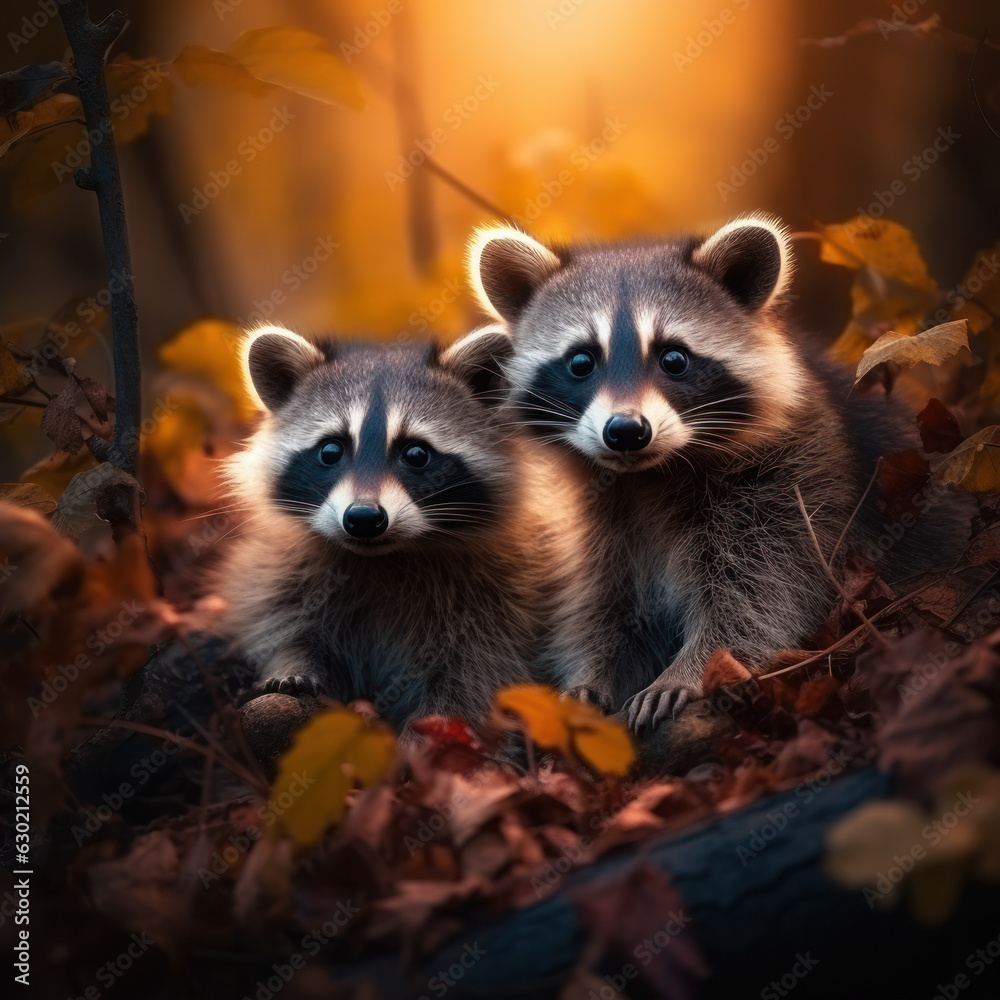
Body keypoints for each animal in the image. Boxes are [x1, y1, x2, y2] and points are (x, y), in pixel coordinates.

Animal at [214, 325, 568, 732]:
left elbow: (473, 676)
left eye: (416, 454)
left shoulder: (504, 598)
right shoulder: (282, 575)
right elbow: (286, 625)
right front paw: (292, 662)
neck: (386, 558)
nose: (364, 518)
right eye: (331, 451)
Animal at [456, 215, 971, 733]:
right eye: (581, 361)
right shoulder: (590, 522)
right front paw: (590, 674)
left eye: (674, 358)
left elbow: (760, 591)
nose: (625, 431)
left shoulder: (792, 479)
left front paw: (691, 669)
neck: (650, 475)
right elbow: (599, 602)